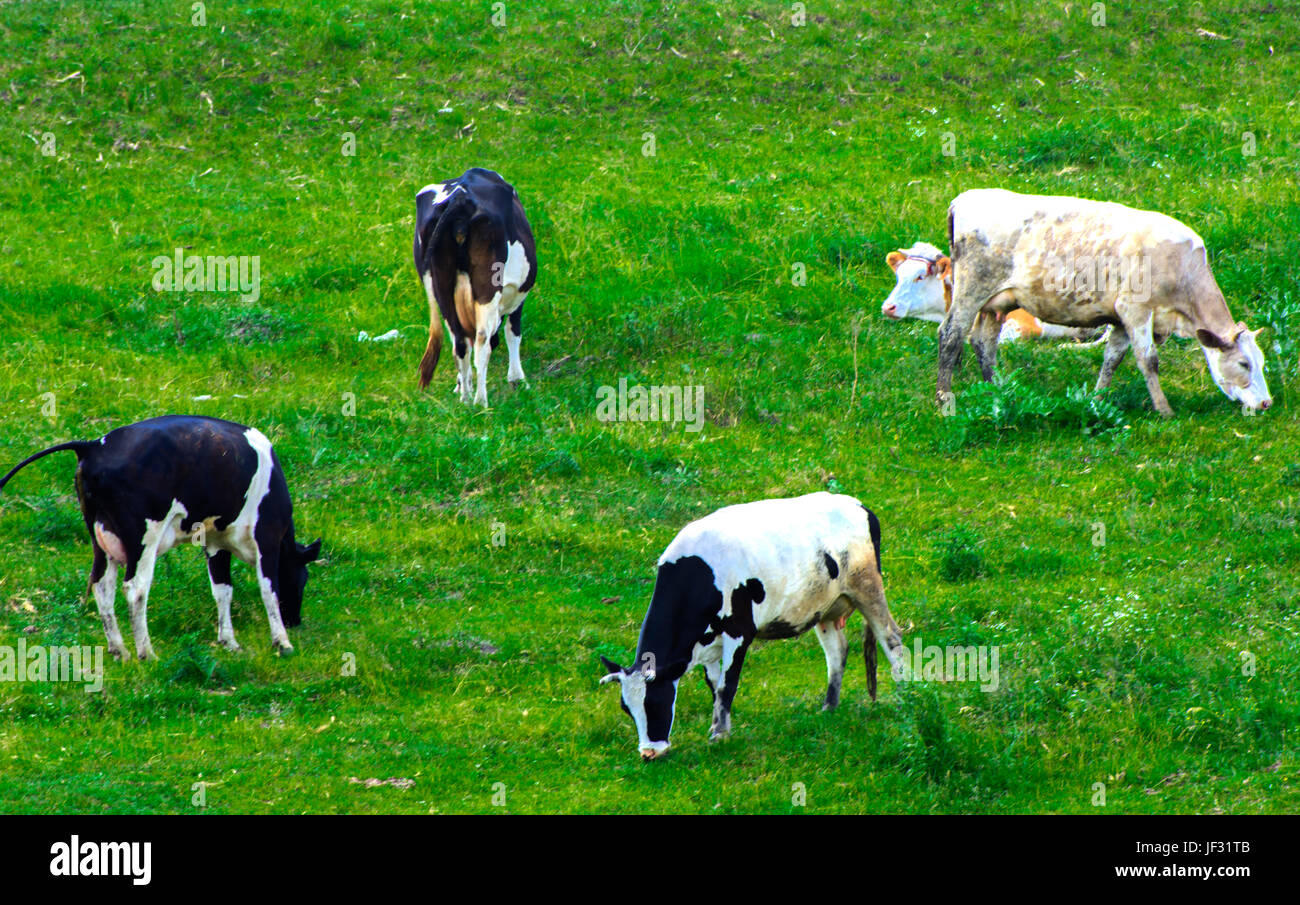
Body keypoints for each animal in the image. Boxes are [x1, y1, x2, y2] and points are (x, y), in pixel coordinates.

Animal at [0, 416, 320, 660]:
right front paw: (282, 642)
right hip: (143, 537)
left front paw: (228, 641)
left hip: (100, 538)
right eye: (303, 578)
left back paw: (119, 650)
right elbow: (269, 589)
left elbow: (222, 590)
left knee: (102, 587)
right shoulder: (267, 536)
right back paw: (146, 653)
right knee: (135, 588)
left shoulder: (215, 543)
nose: (295, 621)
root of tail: (94, 446)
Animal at [413, 167, 537, 407]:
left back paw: (466, 399)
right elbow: (513, 332)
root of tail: (460, 198)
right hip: (488, 286)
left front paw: (461, 384)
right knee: (482, 341)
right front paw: (518, 380)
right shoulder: (517, 297)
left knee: (459, 342)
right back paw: (481, 402)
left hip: (441, 287)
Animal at [599, 492, 905, 760]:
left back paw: (906, 696)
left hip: (867, 586)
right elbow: (715, 686)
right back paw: (829, 707)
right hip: (825, 607)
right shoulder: (709, 645)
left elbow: (728, 684)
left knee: (892, 638)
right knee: (837, 651)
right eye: (627, 708)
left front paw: (720, 735)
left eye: (655, 702)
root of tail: (859, 506)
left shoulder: (739, 631)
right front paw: (718, 725)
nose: (648, 754)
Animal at [936, 189, 1272, 416]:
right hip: (971, 289)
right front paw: (1164, 410)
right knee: (950, 335)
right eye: (1243, 363)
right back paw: (944, 400)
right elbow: (1148, 360)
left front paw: (1096, 400)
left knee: (983, 341)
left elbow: (1113, 358)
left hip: (997, 303)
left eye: (1261, 362)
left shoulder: (1121, 318)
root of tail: (965, 198)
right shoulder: (1135, 310)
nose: (1267, 402)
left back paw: (996, 389)